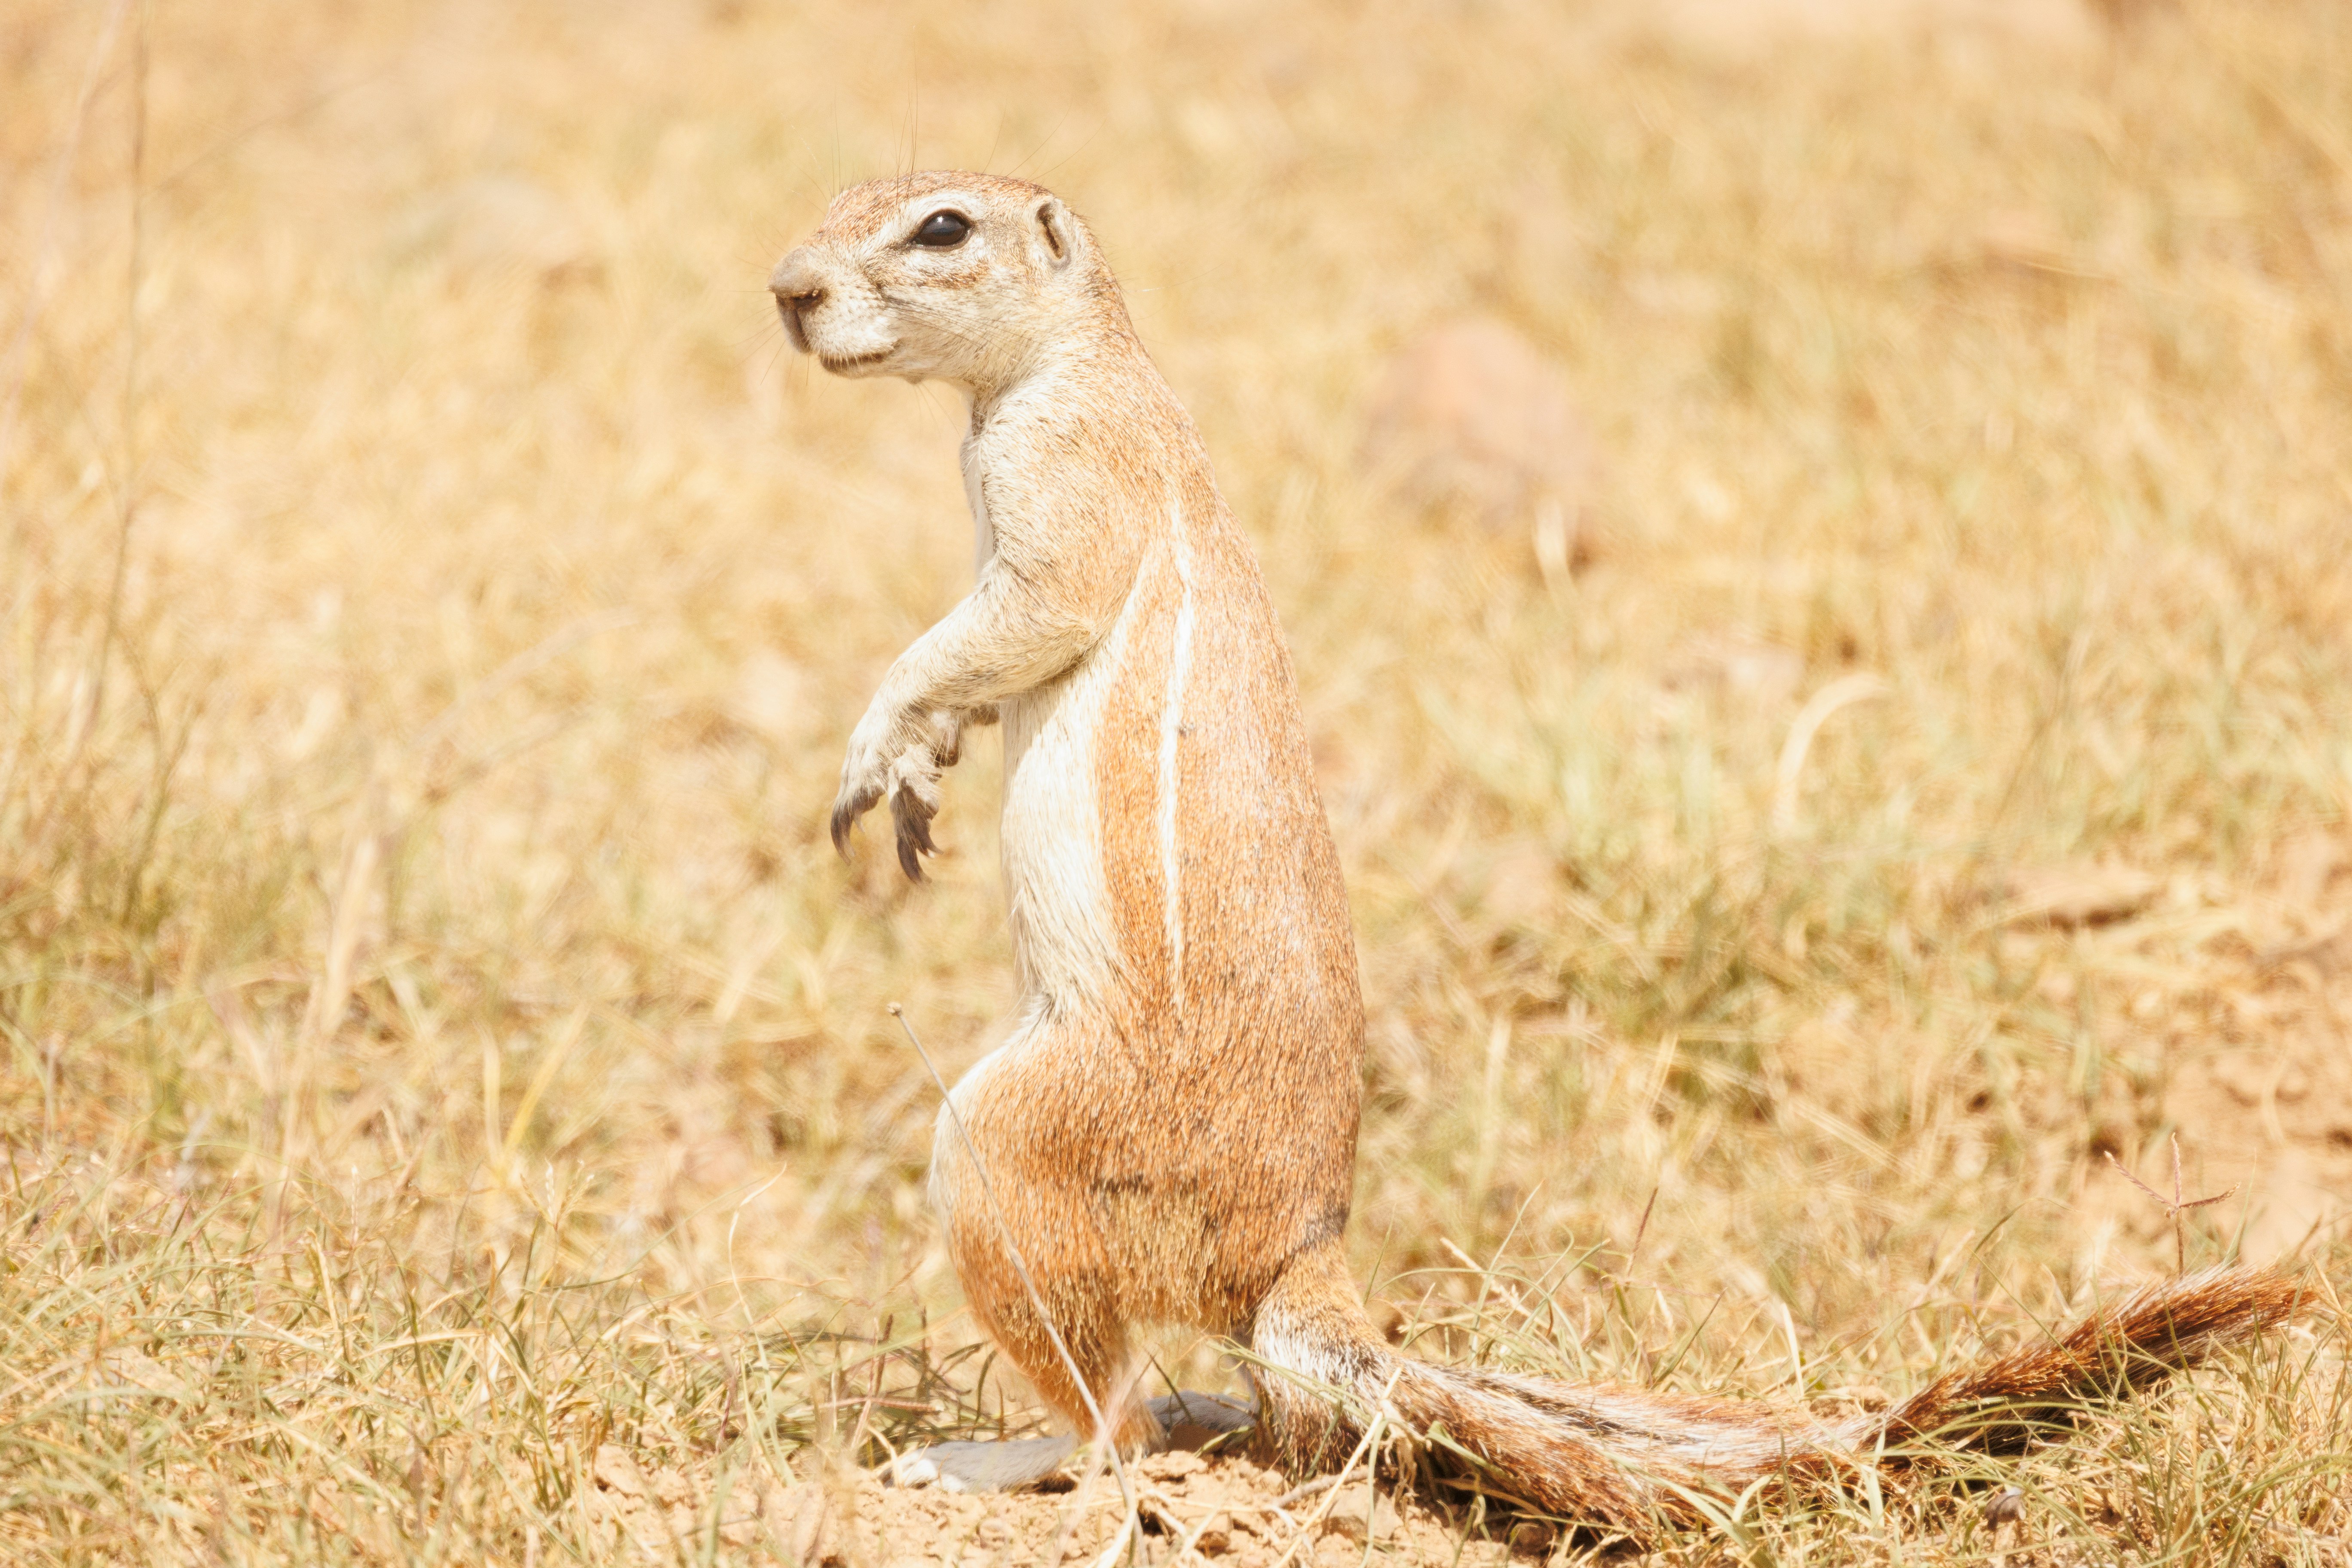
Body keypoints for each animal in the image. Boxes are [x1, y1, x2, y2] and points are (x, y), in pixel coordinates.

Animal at [768, 171, 2309, 1533]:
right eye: (846, 194)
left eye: (941, 227)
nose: (786, 291)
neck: (1076, 360)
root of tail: (1299, 1259)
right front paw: (916, 776)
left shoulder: (1061, 486)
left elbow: (1012, 618)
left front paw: (875, 746)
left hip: (1010, 1142)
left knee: (1111, 1417)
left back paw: (992, 1456)